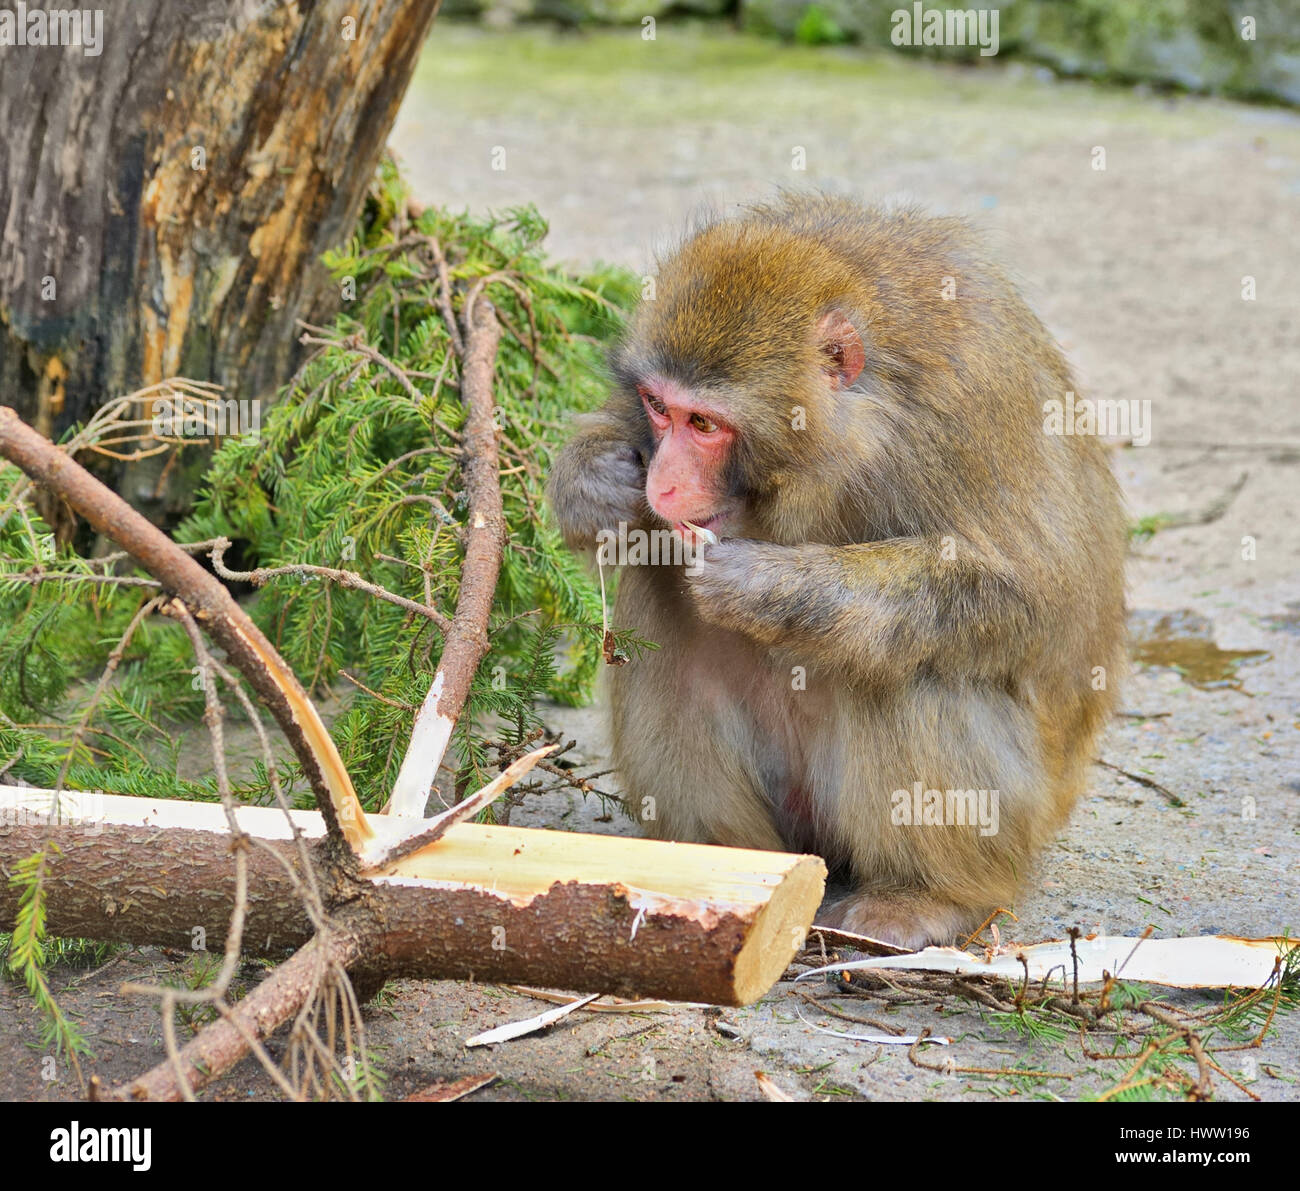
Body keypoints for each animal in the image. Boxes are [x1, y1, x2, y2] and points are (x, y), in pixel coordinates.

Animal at [547, 195, 1126, 950]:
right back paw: (724, 865)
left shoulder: (967, 408)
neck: (847, 436)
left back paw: (925, 897)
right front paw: (592, 479)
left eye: (705, 424)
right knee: (661, 596)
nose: (663, 487)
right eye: (658, 408)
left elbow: (1032, 597)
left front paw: (769, 586)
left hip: (1019, 815)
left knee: (909, 660)